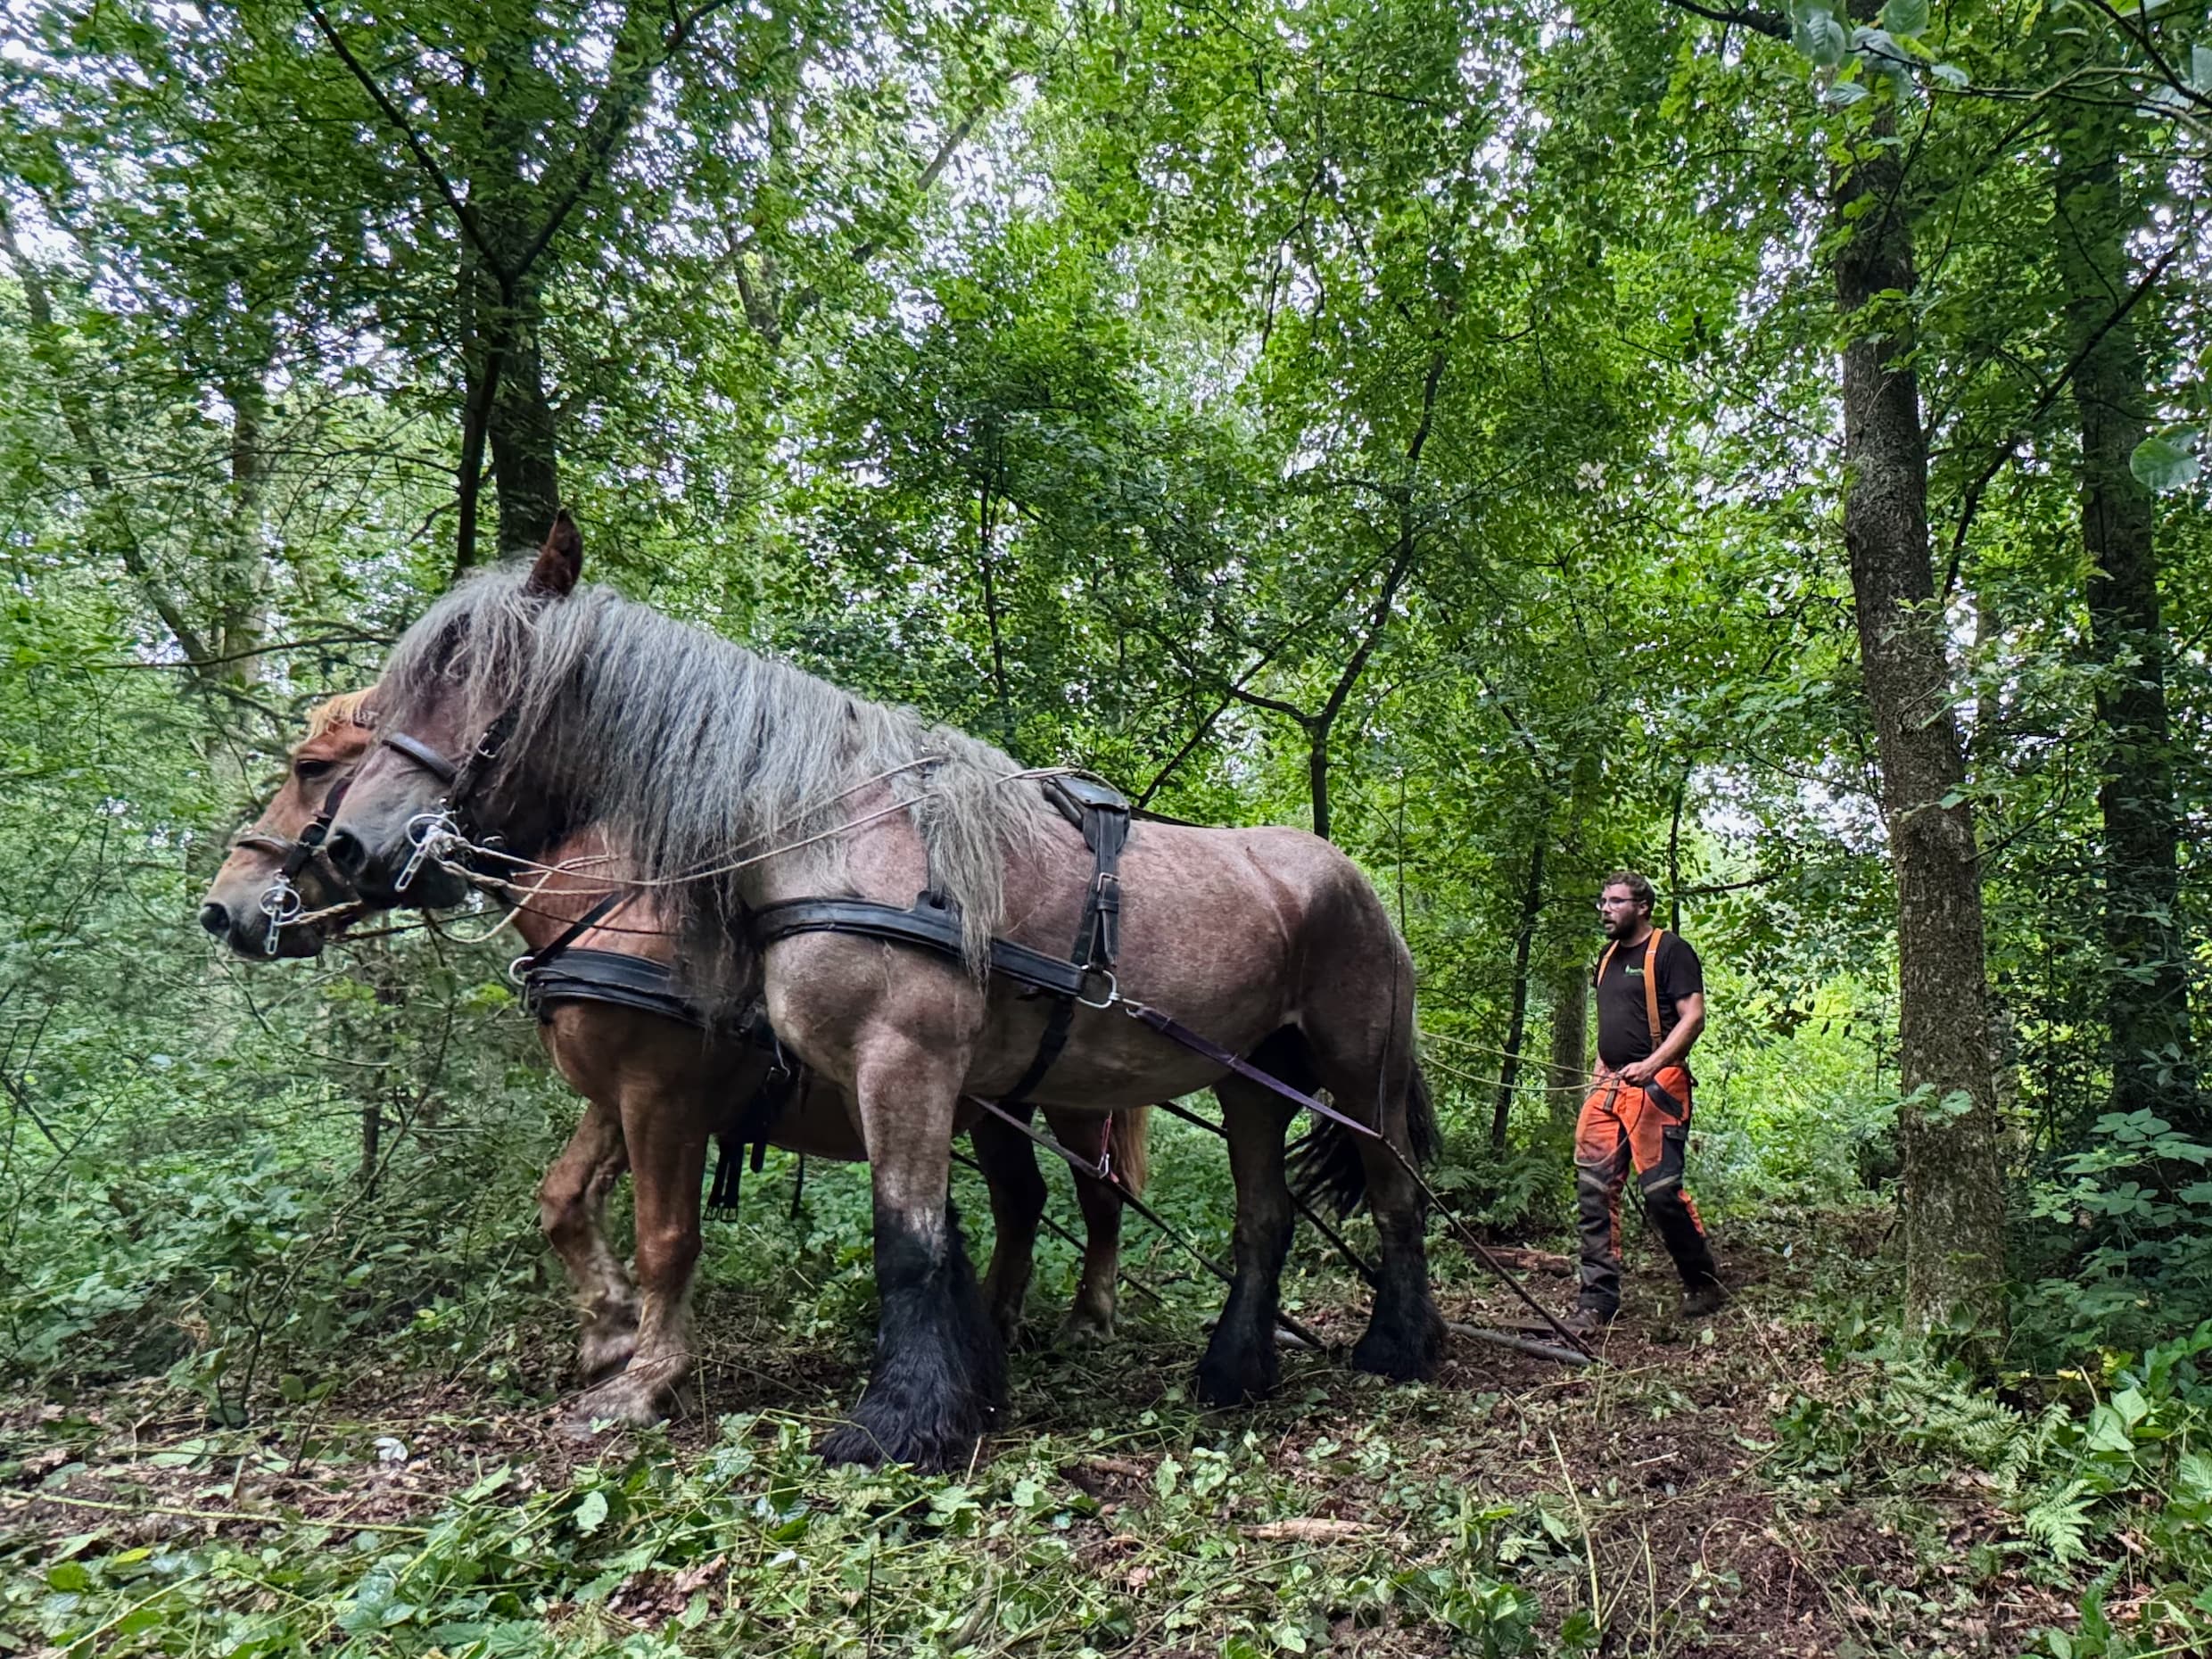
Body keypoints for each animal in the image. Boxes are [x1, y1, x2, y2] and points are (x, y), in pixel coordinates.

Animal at [200, 691, 1151, 1427]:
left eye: (311, 767)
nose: (221, 908)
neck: (610, 908)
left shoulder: (662, 1096)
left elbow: (667, 1235)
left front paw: (647, 1375)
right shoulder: (614, 1096)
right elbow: (562, 1200)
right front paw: (610, 1325)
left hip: (1073, 1096)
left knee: (1098, 1200)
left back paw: (1089, 1315)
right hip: (996, 1100)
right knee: (1023, 1198)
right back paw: (996, 1318)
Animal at [321, 514, 1442, 1470]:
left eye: (471, 671)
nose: (349, 844)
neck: (829, 836)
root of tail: (1348, 877)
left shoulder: (893, 1060)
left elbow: (899, 1246)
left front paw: (892, 1427)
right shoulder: (891, 1080)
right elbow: (939, 1239)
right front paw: (961, 1391)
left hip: (1357, 1065)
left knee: (1392, 1193)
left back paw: (1398, 1345)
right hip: (1249, 1076)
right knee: (1262, 1215)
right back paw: (1232, 1369)